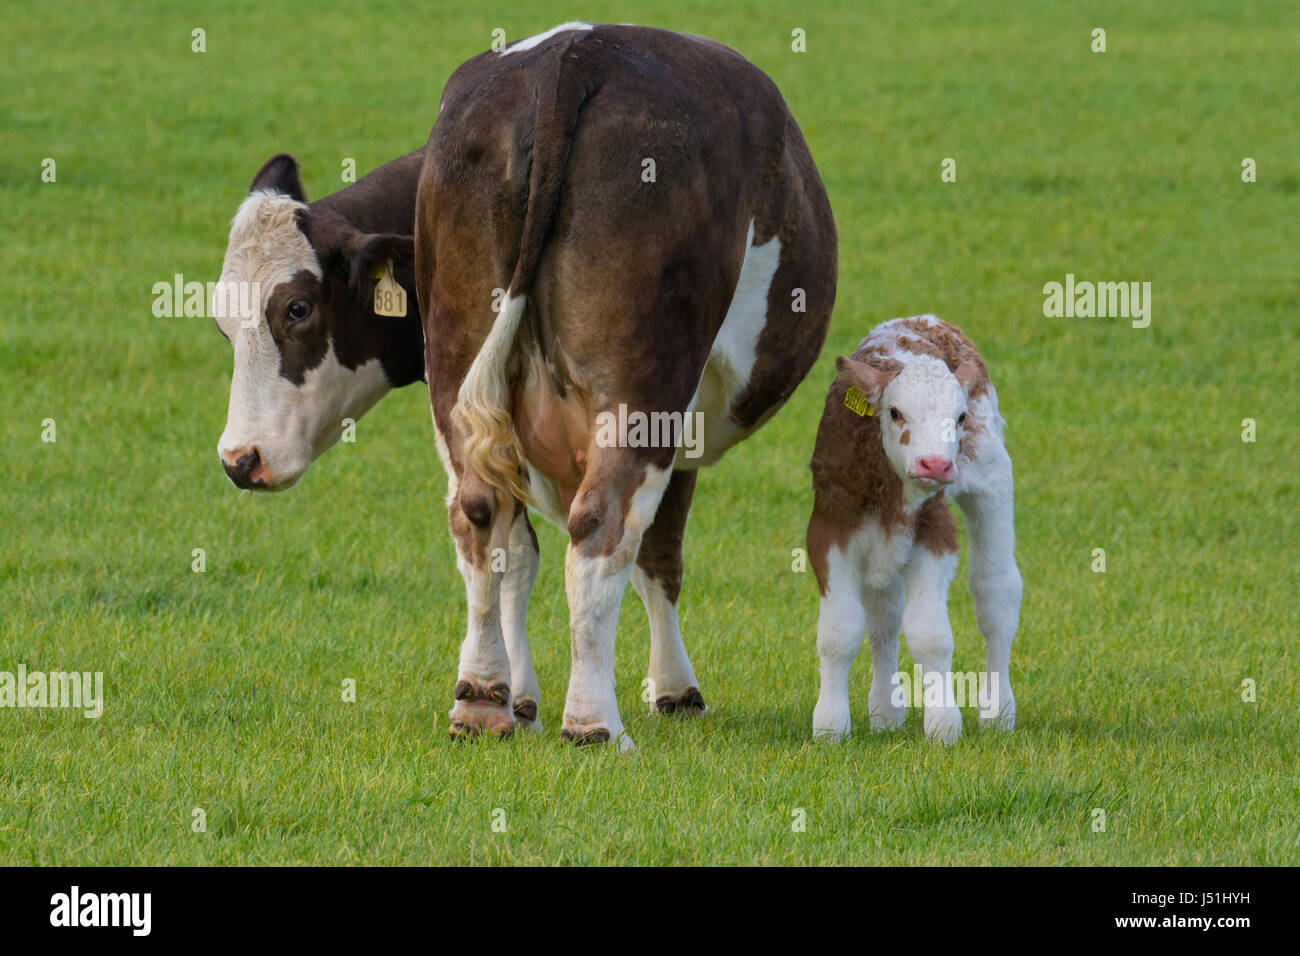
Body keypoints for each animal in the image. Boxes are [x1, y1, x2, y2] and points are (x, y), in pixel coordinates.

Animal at [211, 23, 837, 751]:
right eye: (225, 325)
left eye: (297, 309)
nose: (240, 459)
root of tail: (570, 58)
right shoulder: (683, 423)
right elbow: (658, 558)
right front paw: (674, 692)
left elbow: (520, 555)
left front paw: (520, 699)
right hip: (644, 391)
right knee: (602, 528)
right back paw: (595, 724)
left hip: (462, 374)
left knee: (481, 520)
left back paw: (481, 700)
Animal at [806, 316, 1022, 743]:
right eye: (895, 412)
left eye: (960, 417)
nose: (935, 464)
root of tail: (924, 320)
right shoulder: (828, 527)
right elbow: (840, 630)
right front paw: (830, 727)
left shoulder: (935, 529)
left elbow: (929, 633)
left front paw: (943, 726)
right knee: (884, 616)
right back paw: (886, 713)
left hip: (992, 477)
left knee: (996, 593)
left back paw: (998, 711)